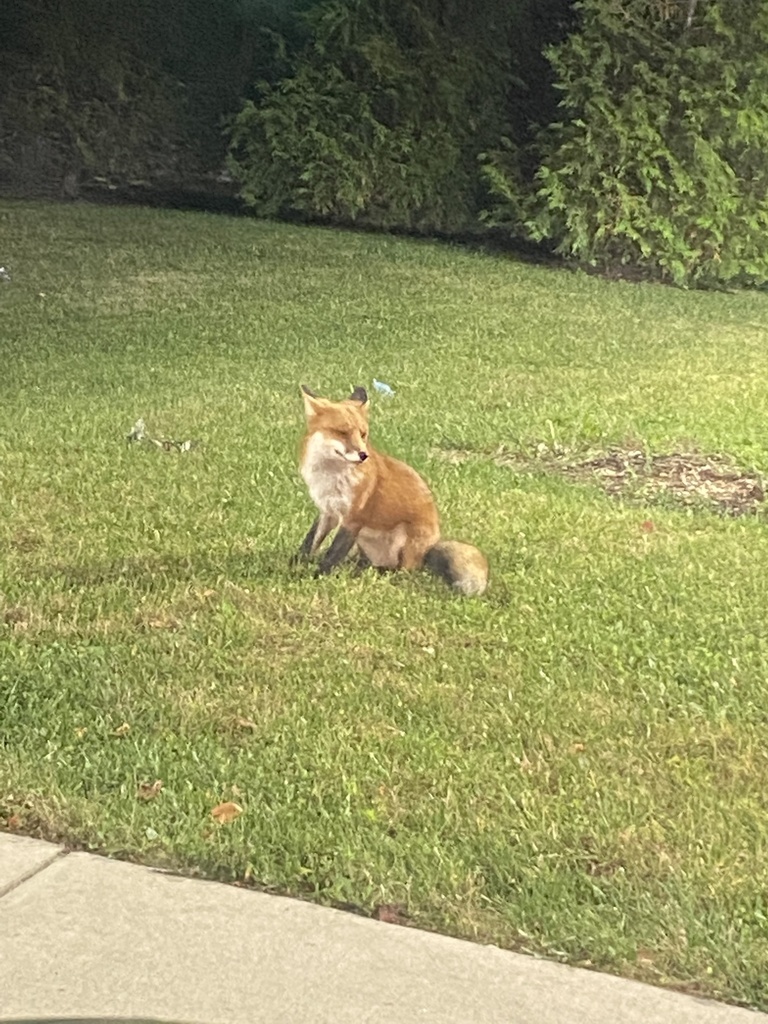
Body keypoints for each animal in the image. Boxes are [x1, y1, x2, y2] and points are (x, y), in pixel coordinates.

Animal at [293, 385, 488, 596]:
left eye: (363, 434)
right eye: (342, 432)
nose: (363, 455)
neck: (330, 477)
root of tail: (430, 548)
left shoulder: (353, 518)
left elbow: (332, 554)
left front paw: (315, 577)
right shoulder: (327, 512)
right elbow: (309, 543)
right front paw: (294, 566)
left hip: (402, 540)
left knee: (403, 571)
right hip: (363, 543)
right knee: (364, 562)